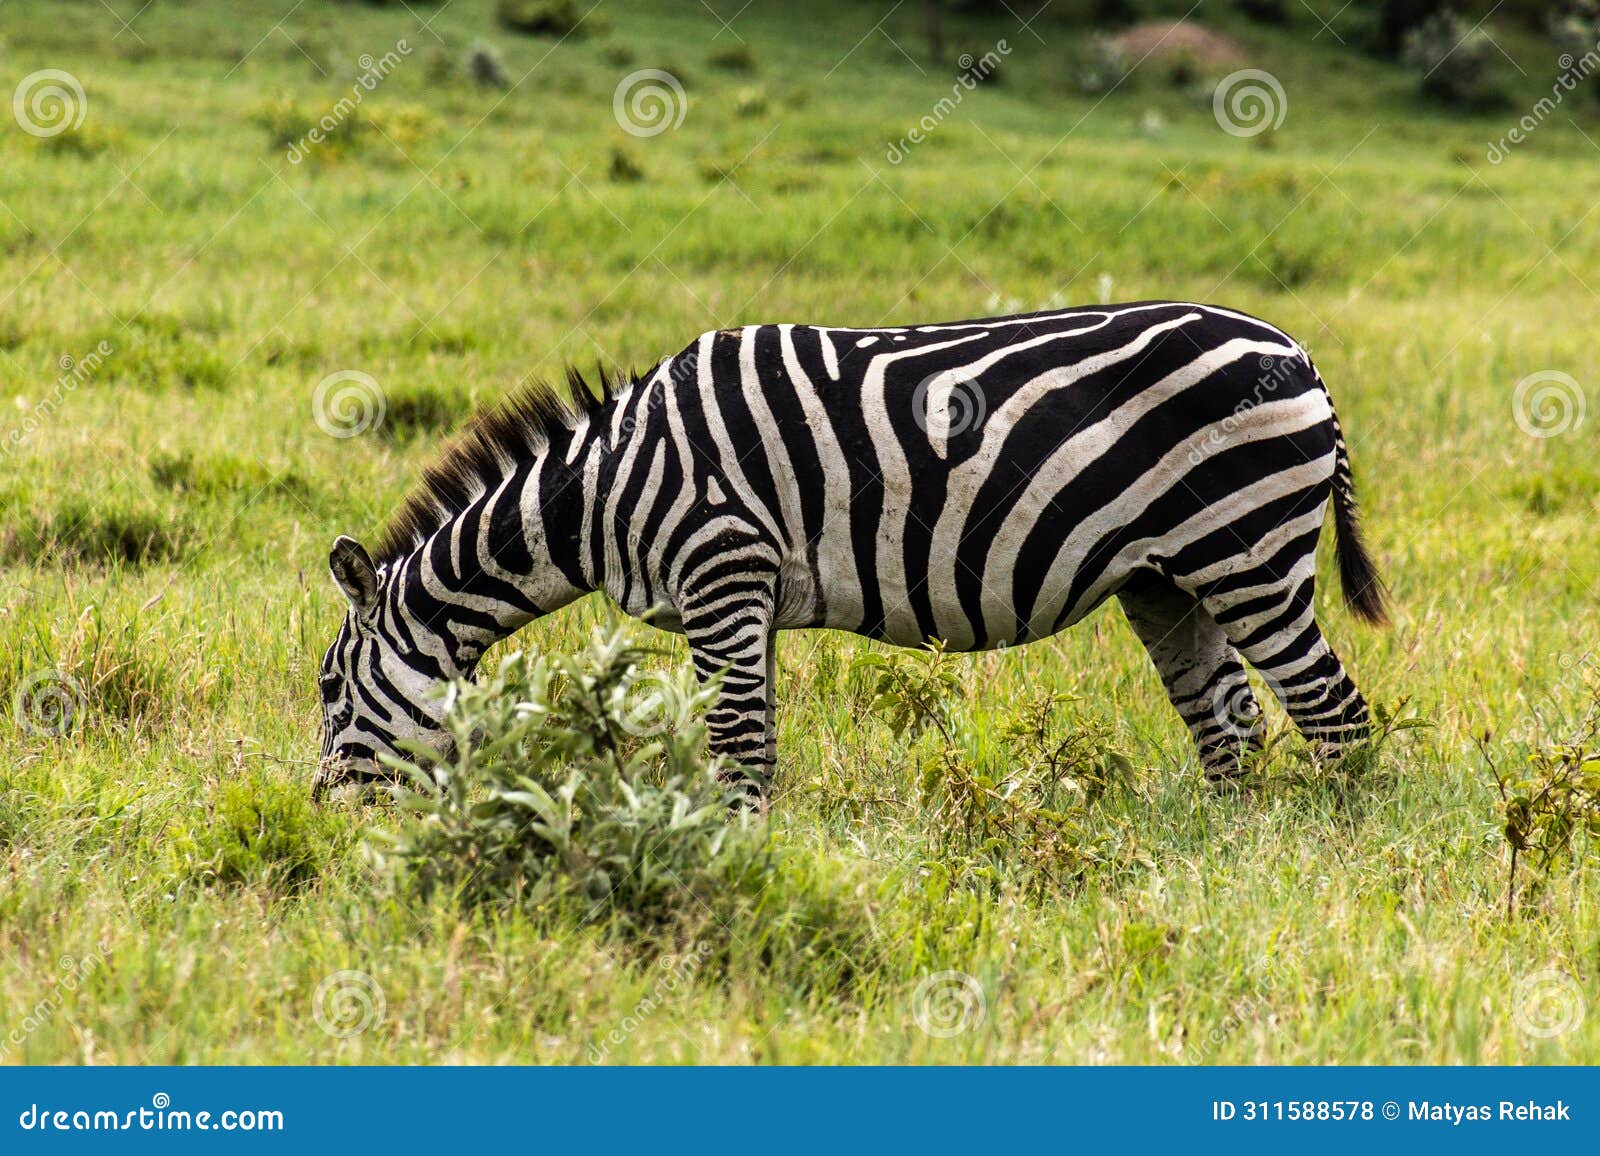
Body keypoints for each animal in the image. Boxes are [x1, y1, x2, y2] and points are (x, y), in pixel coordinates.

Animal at [314, 301, 1387, 803]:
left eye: (327, 689)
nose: (324, 810)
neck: (609, 481)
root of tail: (1298, 354)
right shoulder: (743, 596)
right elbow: (756, 740)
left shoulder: (723, 567)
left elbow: (738, 743)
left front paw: (730, 863)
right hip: (1169, 580)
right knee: (1231, 722)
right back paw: (1227, 856)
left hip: (1248, 553)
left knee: (1336, 717)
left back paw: (1325, 857)